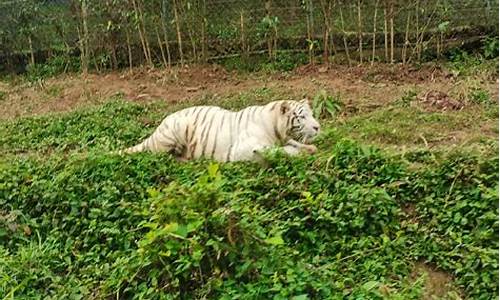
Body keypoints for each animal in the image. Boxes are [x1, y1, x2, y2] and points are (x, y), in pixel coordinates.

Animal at [122, 99, 320, 162]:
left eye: (311, 114)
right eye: (302, 117)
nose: (318, 127)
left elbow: (293, 143)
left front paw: (310, 148)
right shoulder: (243, 149)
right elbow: (282, 150)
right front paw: (299, 152)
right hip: (171, 134)